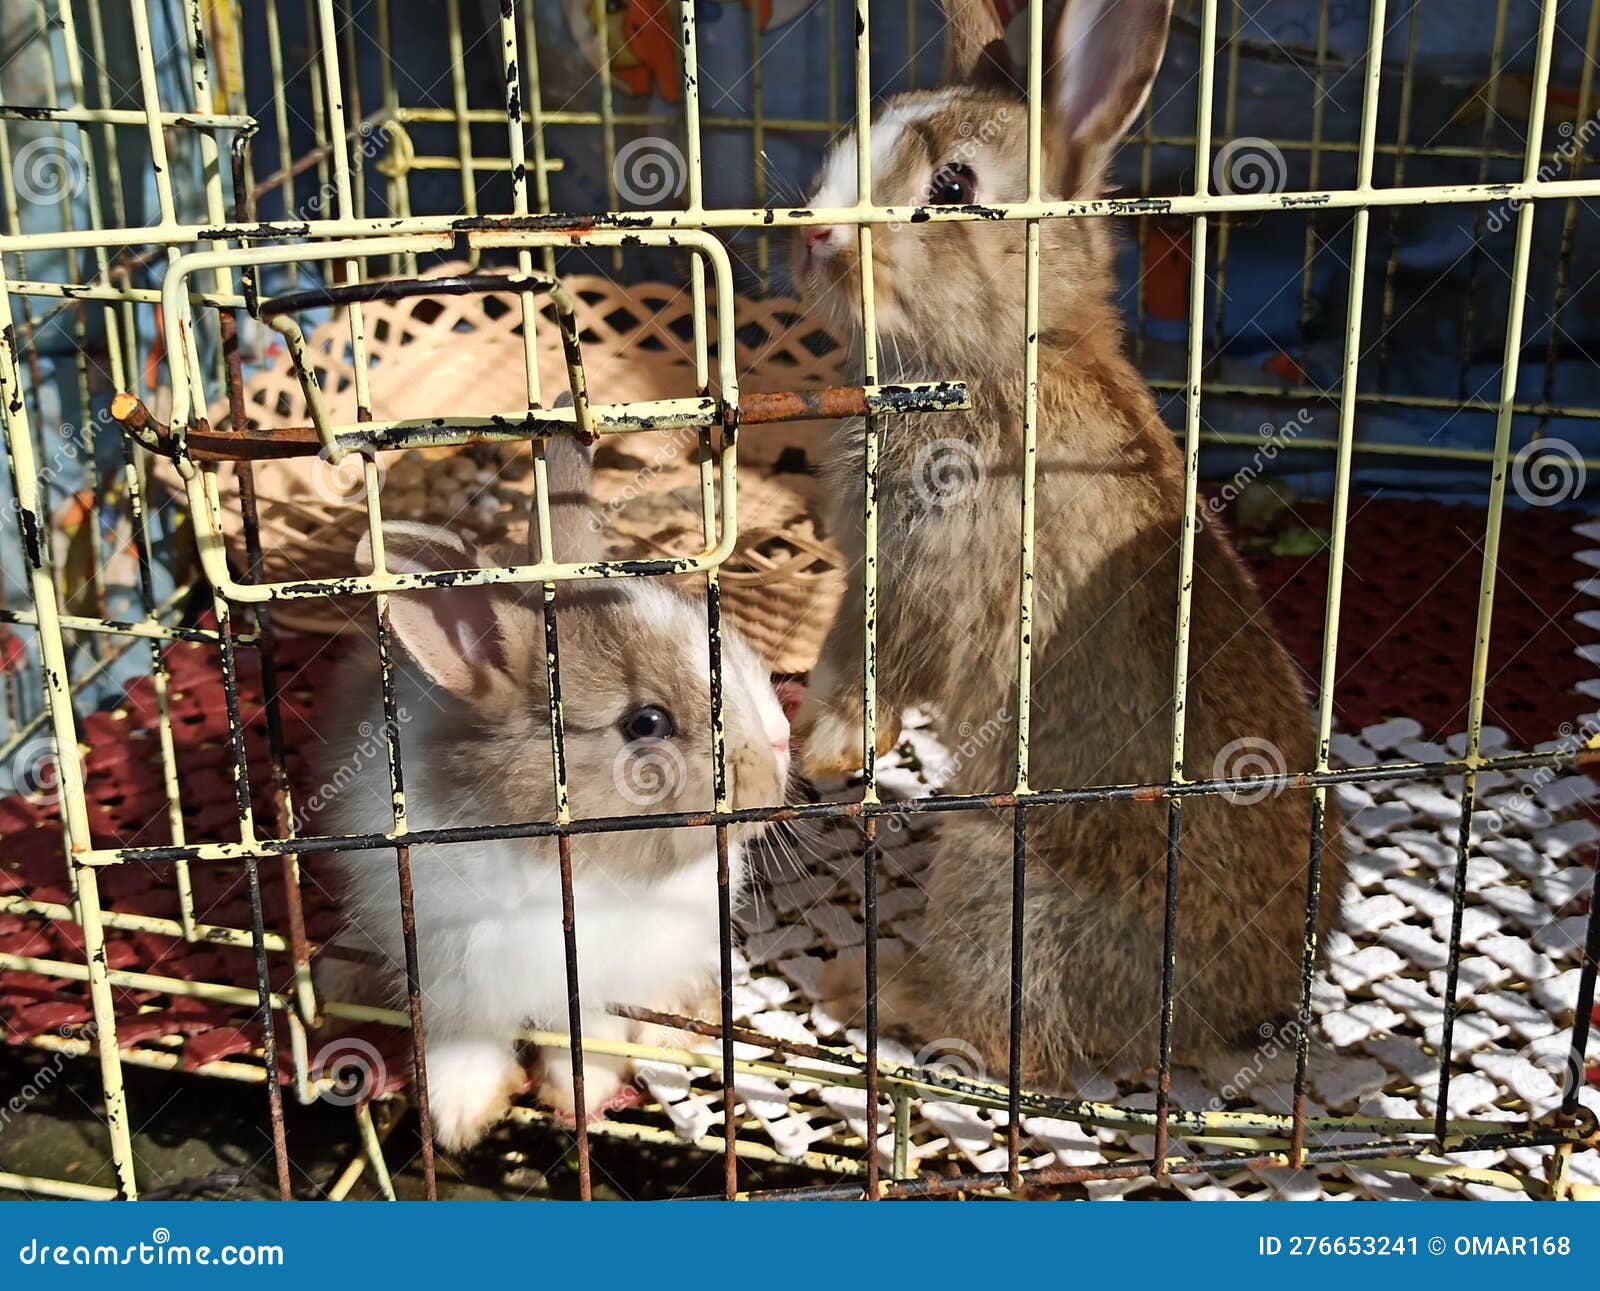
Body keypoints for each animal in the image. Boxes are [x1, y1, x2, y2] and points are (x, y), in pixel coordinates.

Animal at [310, 438, 791, 1150]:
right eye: (647, 724)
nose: (782, 742)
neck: (572, 865)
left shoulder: (594, 985)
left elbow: (584, 1036)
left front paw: (584, 1095)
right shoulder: (450, 975)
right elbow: (464, 1041)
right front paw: (459, 1116)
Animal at [791, 0, 1342, 1083]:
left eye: (952, 188)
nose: (818, 234)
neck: (1008, 355)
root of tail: (1220, 1021)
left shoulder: (920, 584)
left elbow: (871, 670)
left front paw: (829, 752)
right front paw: (819, 755)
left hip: (993, 870)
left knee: (999, 1029)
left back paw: (866, 988)